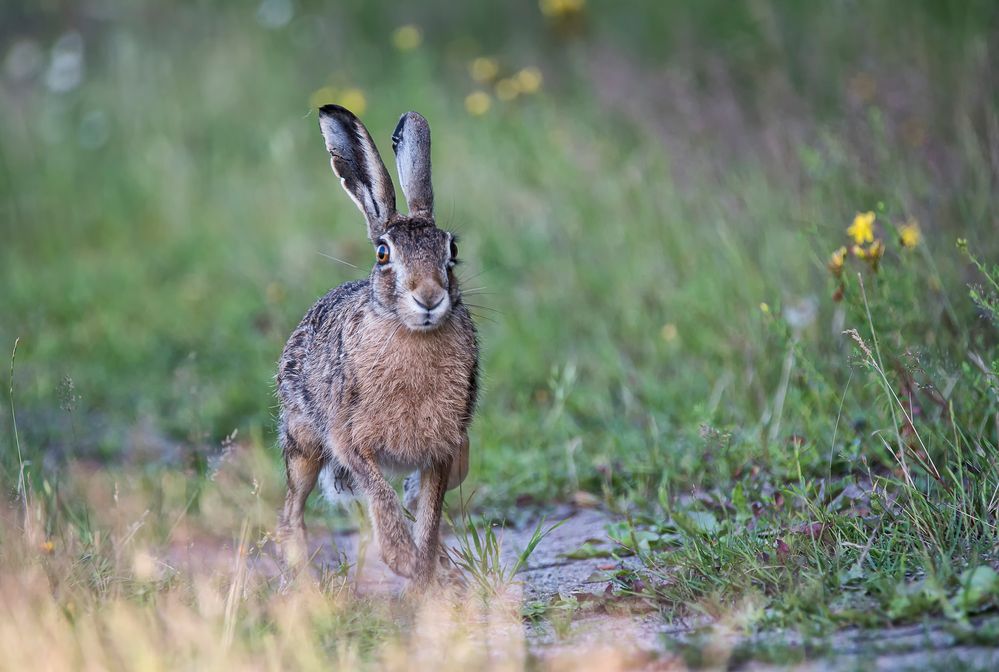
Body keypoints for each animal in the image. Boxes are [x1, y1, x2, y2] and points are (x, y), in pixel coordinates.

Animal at [275, 104, 479, 586]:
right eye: (383, 254)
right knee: (293, 514)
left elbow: (430, 514)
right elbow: (378, 495)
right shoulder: (349, 439)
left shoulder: (445, 448)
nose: (430, 297)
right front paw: (404, 560)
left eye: (451, 251)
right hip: (303, 440)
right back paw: (305, 585)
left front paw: (424, 570)